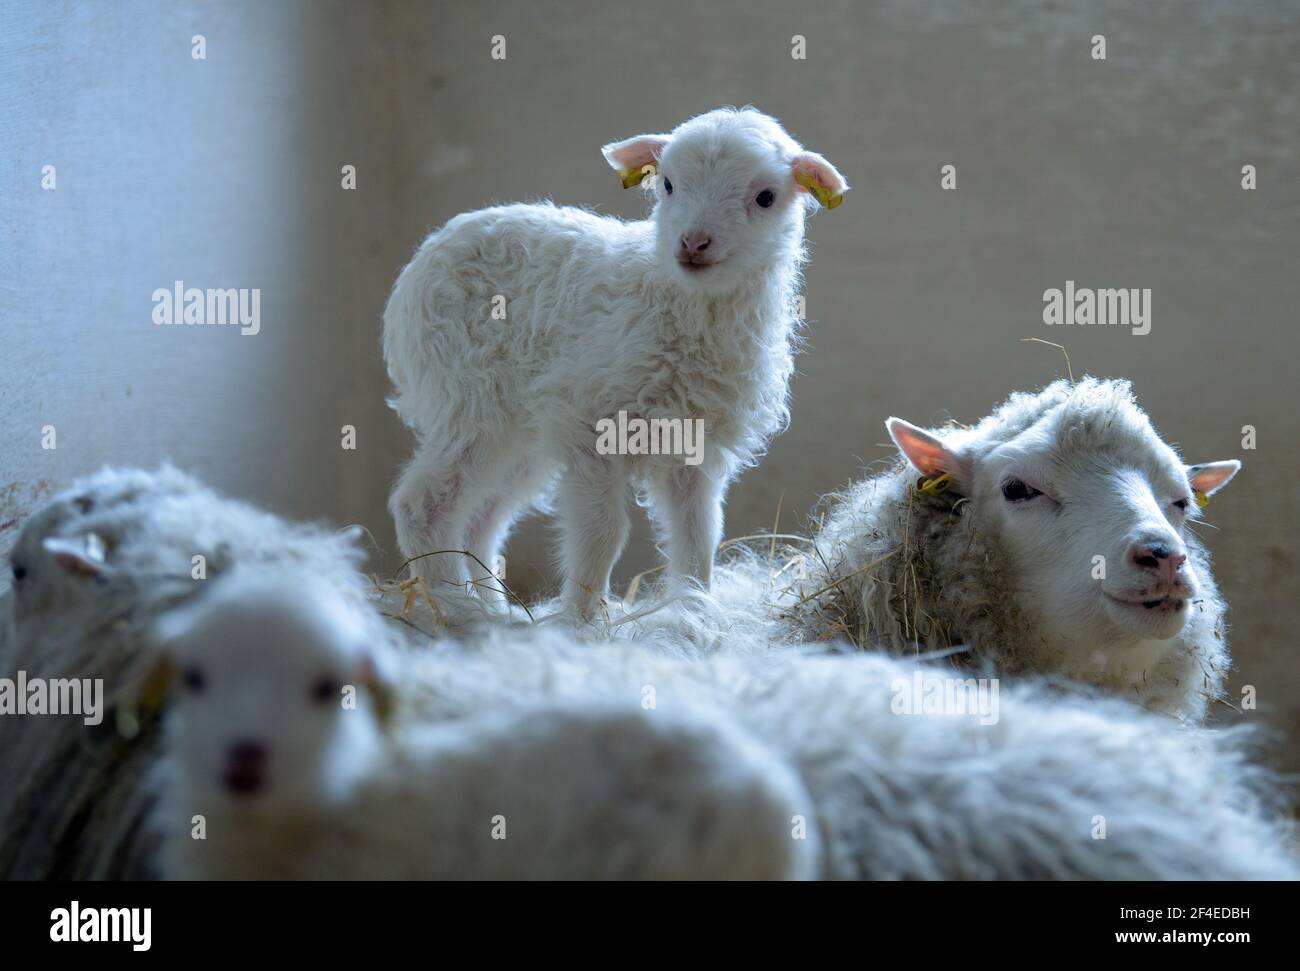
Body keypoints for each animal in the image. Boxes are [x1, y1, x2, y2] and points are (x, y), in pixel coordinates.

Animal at [382, 106, 848, 619]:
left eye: (766, 197)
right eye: (667, 184)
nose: (693, 242)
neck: (677, 304)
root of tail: (416, 270)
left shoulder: (696, 443)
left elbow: (699, 533)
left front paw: (693, 609)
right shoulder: (589, 421)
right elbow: (604, 532)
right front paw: (582, 620)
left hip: (521, 431)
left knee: (481, 517)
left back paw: (497, 610)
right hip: (468, 393)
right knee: (424, 504)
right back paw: (451, 606)